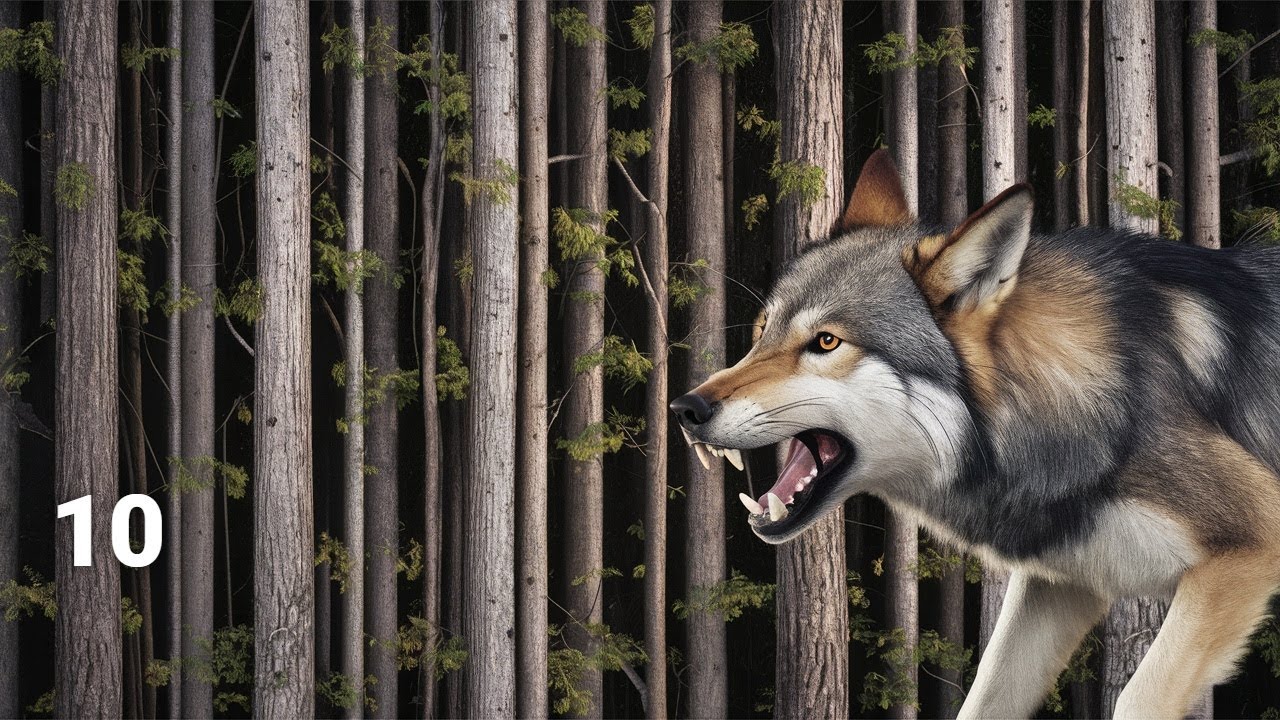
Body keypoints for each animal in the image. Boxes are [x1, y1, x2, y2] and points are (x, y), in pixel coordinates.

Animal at [671, 150, 1280, 718]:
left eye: (825, 342)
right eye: (761, 333)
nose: (684, 408)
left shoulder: (1250, 541)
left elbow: (1134, 698)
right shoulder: (1059, 585)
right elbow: (983, 696)